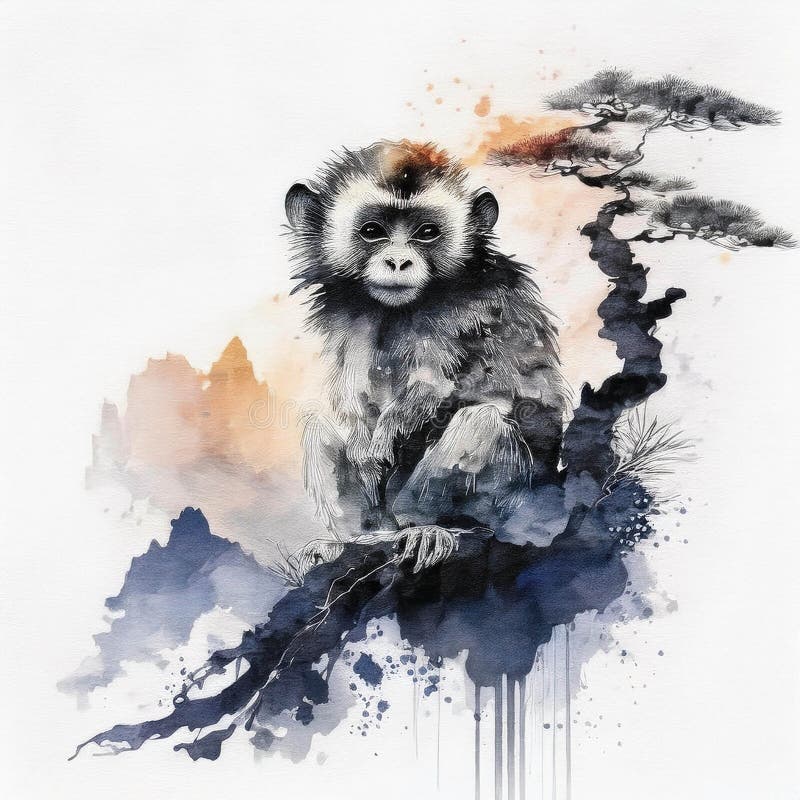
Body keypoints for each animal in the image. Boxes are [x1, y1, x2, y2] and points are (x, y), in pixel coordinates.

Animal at [285, 140, 568, 575]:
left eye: (426, 233)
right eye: (373, 231)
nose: (398, 261)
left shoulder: (461, 312)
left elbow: (436, 385)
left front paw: (387, 435)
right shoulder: (351, 317)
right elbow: (353, 392)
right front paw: (365, 445)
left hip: (514, 502)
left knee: (482, 421)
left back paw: (433, 528)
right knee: (318, 421)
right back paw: (352, 540)